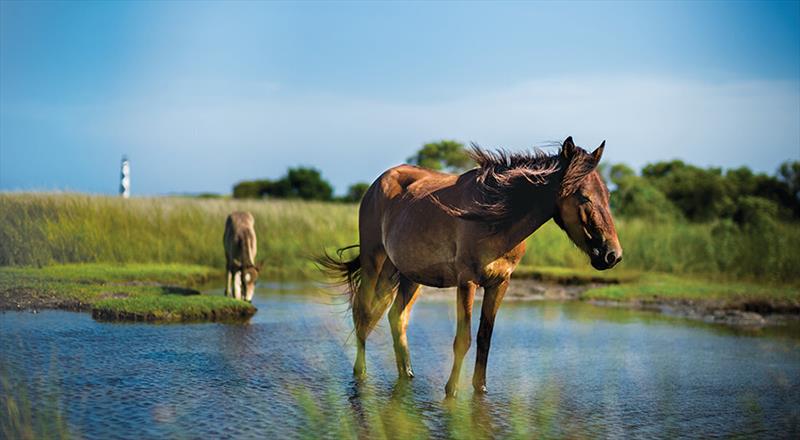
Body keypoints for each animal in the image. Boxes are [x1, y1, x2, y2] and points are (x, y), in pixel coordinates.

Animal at [320, 136, 622, 397]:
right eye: (583, 196)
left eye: (608, 196)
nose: (612, 255)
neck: (495, 219)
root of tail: (378, 183)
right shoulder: (467, 282)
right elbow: (463, 339)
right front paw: (451, 391)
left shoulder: (500, 284)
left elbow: (484, 338)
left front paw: (481, 388)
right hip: (374, 262)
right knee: (363, 314)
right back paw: (361, 373)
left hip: (406, 274)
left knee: (396, 317)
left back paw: (407, 374)